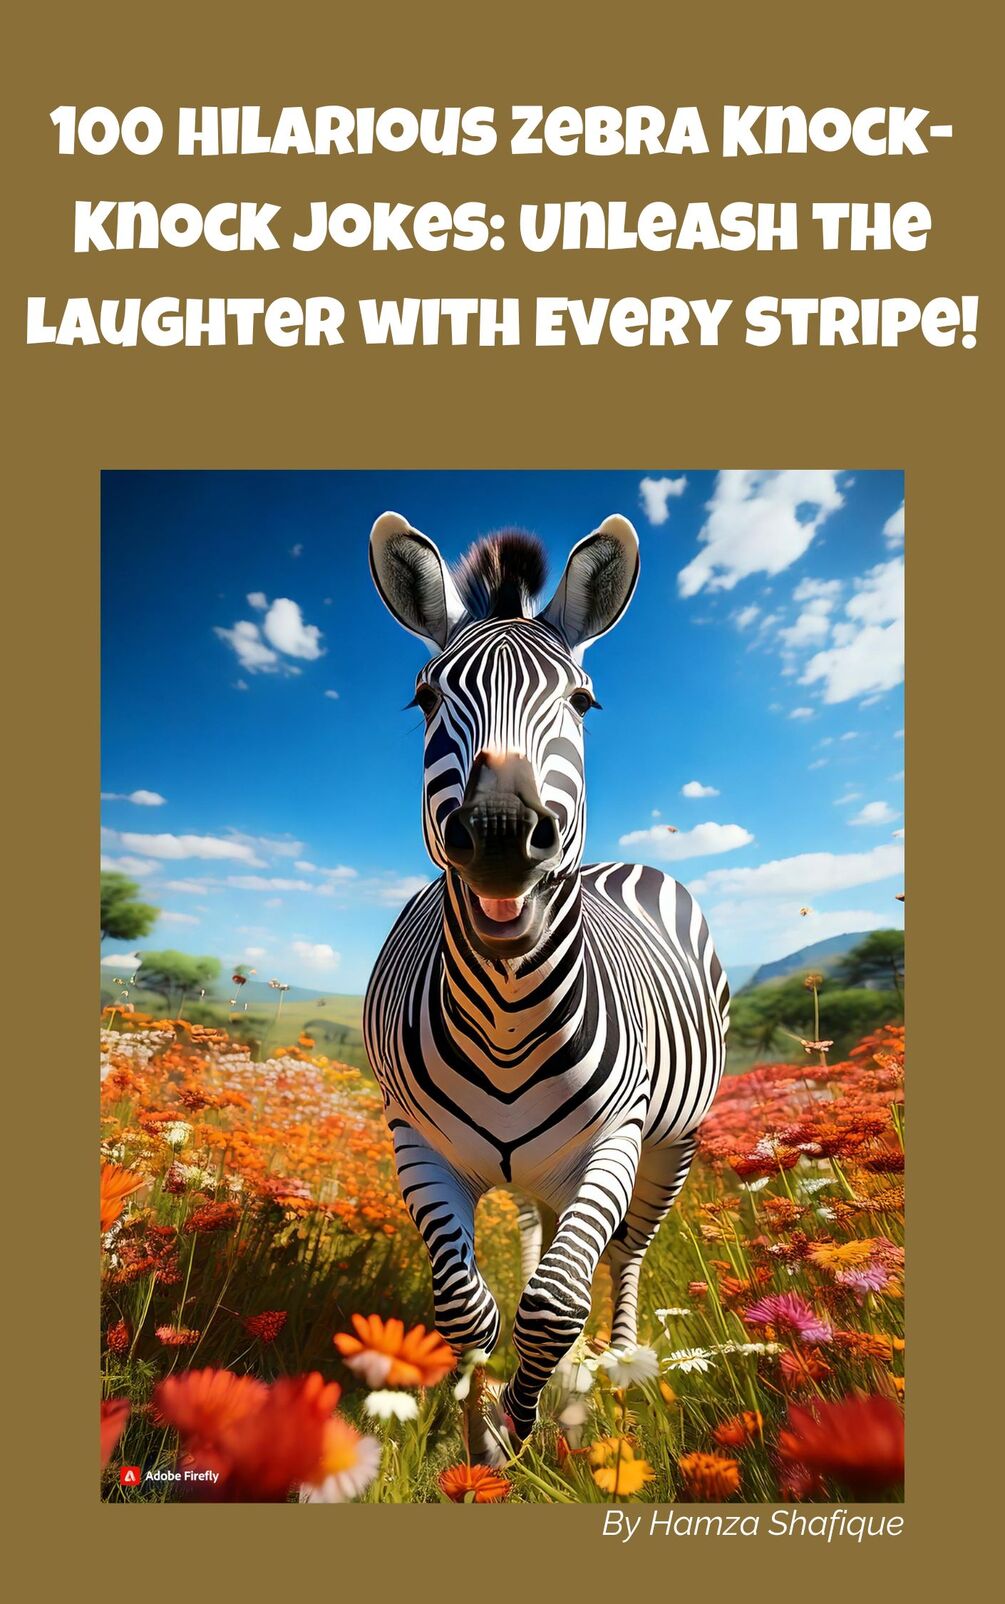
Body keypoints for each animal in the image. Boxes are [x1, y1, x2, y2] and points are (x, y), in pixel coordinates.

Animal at [364, 509, 729, 1452]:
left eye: (582, 702)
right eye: (424, 698)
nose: (499, 833)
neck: (503, 1015)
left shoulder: (616, 1138)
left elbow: (552, 1307)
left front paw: (520, 1427)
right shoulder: (414, 1141)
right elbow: (468, 1309)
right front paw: (474, 1431)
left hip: (669, 1144)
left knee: (624, 1255)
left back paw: (615, 1366)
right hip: (541, 1172)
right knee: (540, 1228)